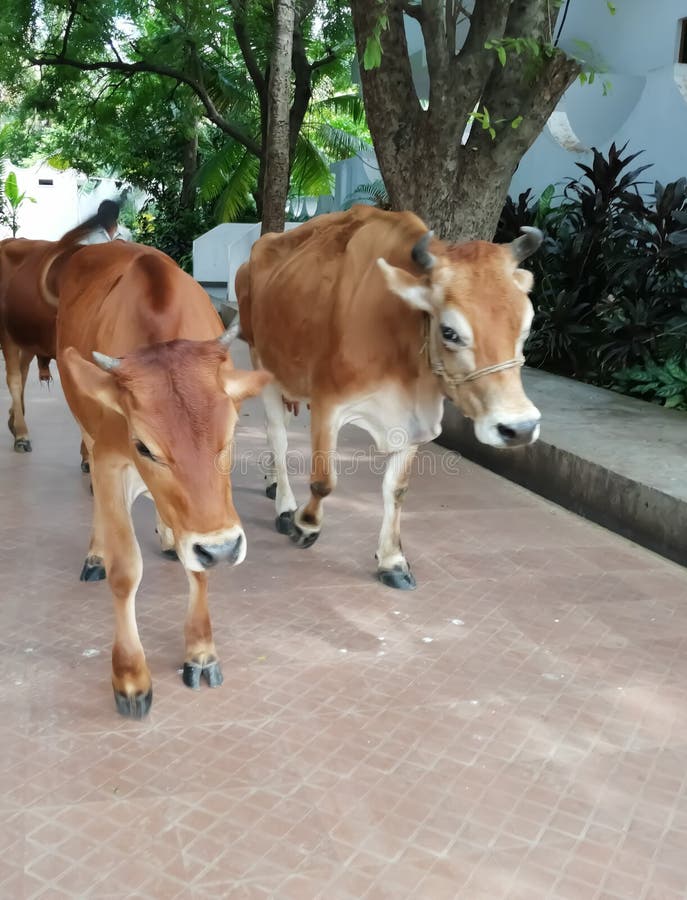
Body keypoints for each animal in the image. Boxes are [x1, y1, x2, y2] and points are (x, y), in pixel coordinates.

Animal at [0, 236, 89, 468]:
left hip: (29, 336)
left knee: (22, 372)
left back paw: (14, 422)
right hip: (8, 332)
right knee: (14, 378)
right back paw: (21, 435)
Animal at [47, 219, 270, 717]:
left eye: (230, 436)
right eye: (143, 447)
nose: (224, 549)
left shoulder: (205, 522)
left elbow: (198, 566)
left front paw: (202, 653)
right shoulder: (110, 461)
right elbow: (125, 570)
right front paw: (130, 678)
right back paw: (97, 553)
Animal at [236, 205, 542, 591]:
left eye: (526, 327)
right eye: (450, 331)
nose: (520, 427)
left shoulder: (413, 422)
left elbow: (396, 490)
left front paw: (392, 561)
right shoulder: (328, 404)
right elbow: (324, 481)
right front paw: (306, 525)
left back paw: (273, 482)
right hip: (263, 362)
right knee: (277, 435)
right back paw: (285, 506)